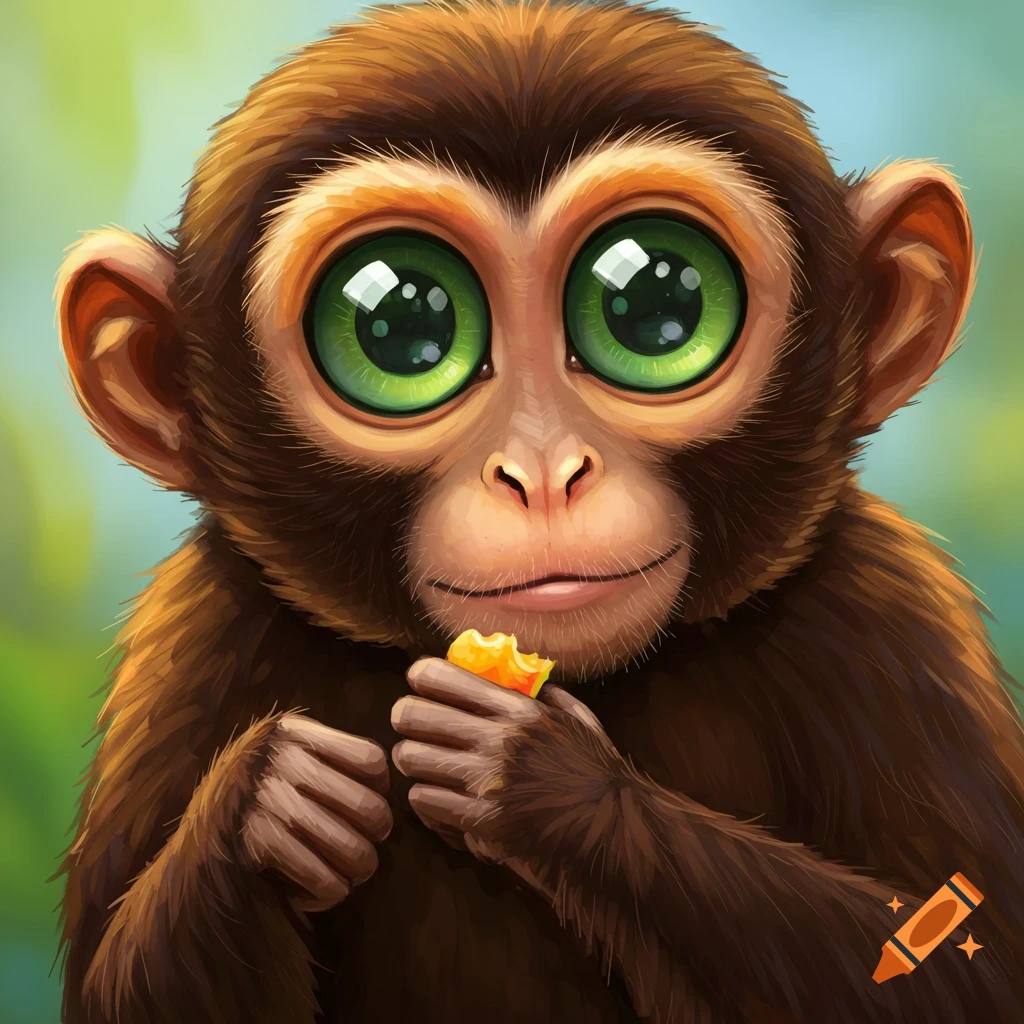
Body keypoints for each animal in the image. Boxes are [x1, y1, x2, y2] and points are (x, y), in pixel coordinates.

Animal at [53, 0, 1024, 1021]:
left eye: (657, 298)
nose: (545, 471)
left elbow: (965, 966)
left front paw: (537, 779)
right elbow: (120, 989)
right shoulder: (187, 639)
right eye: (400, 322)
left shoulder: (895, 612)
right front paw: (266, 806)